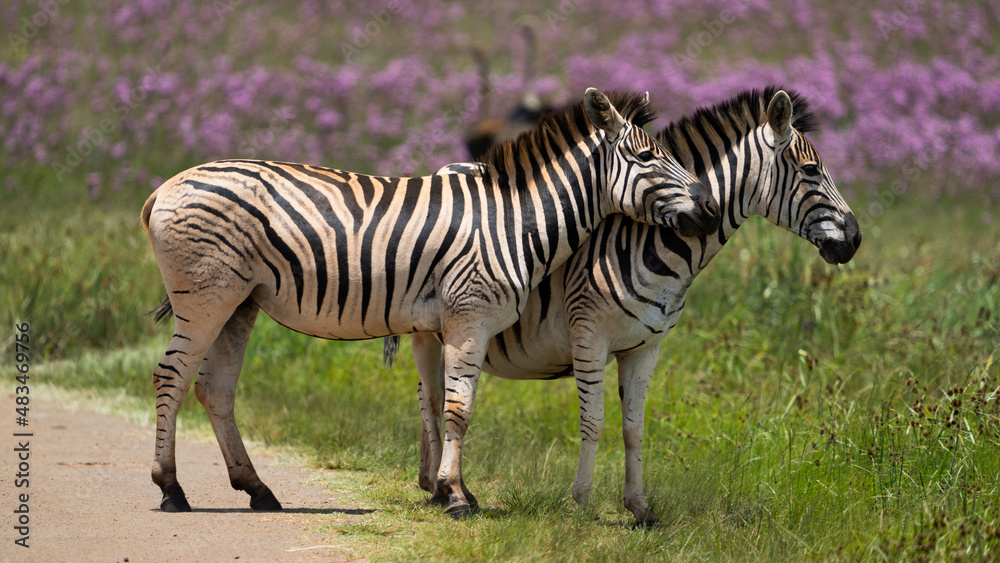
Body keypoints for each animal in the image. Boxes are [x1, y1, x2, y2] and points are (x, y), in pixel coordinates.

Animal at [139, 88, 721, 518]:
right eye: (647, 157)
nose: (711, 210)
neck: (514, 222)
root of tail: (166, 185)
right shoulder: (469, 319)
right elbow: (459, 410)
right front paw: (458, 497)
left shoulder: (454, 324)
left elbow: (450, 407)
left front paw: (451, 491)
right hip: (207, 296)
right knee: (171, 376)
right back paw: (171, 490)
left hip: (241, 301)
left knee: (215, 388)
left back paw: (257, 490)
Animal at [399, 87, 861, 524]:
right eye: (811, 170)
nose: (856, 239)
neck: (652, 245)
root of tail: (451, 169)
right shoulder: (589, 336)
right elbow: (594, 422)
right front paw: (581, 503)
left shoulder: (645, 347)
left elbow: (634, 429)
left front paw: (639, 508)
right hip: (432, 329)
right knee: (433, 396)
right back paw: (443, 488)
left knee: (432, 392)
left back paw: (438, 483)